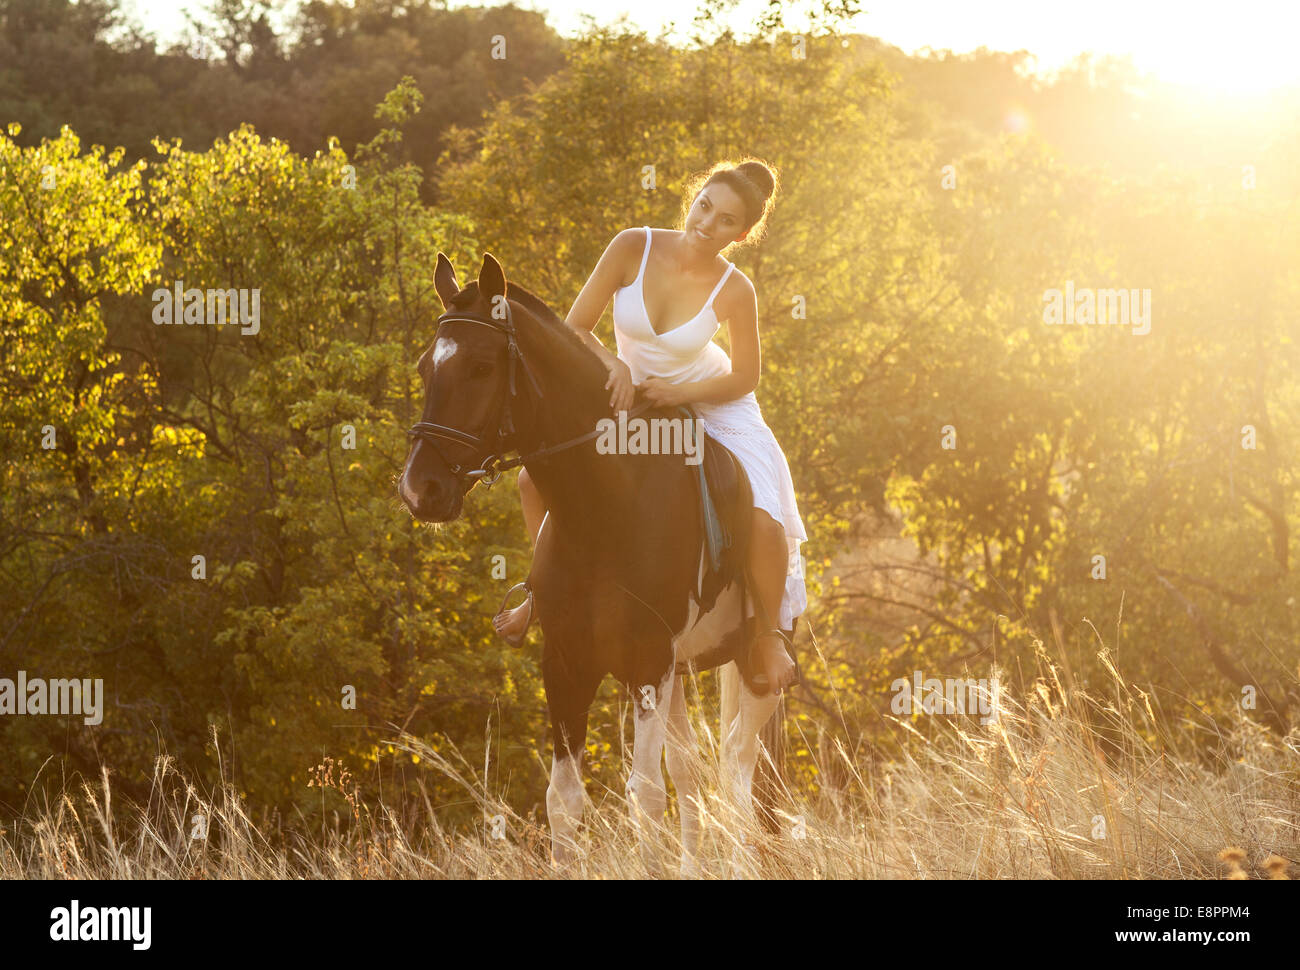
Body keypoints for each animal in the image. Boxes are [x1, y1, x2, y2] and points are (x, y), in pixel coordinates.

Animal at [398, 251, 792, 876]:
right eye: (421, 368)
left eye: (482, 367)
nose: (420, 490)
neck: (610, 503)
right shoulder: (566, 663)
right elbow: (564, 799)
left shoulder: (646, 663)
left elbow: (645, 795)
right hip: (678, 671)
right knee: (692, 770)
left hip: (752, 665)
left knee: (737, 764)